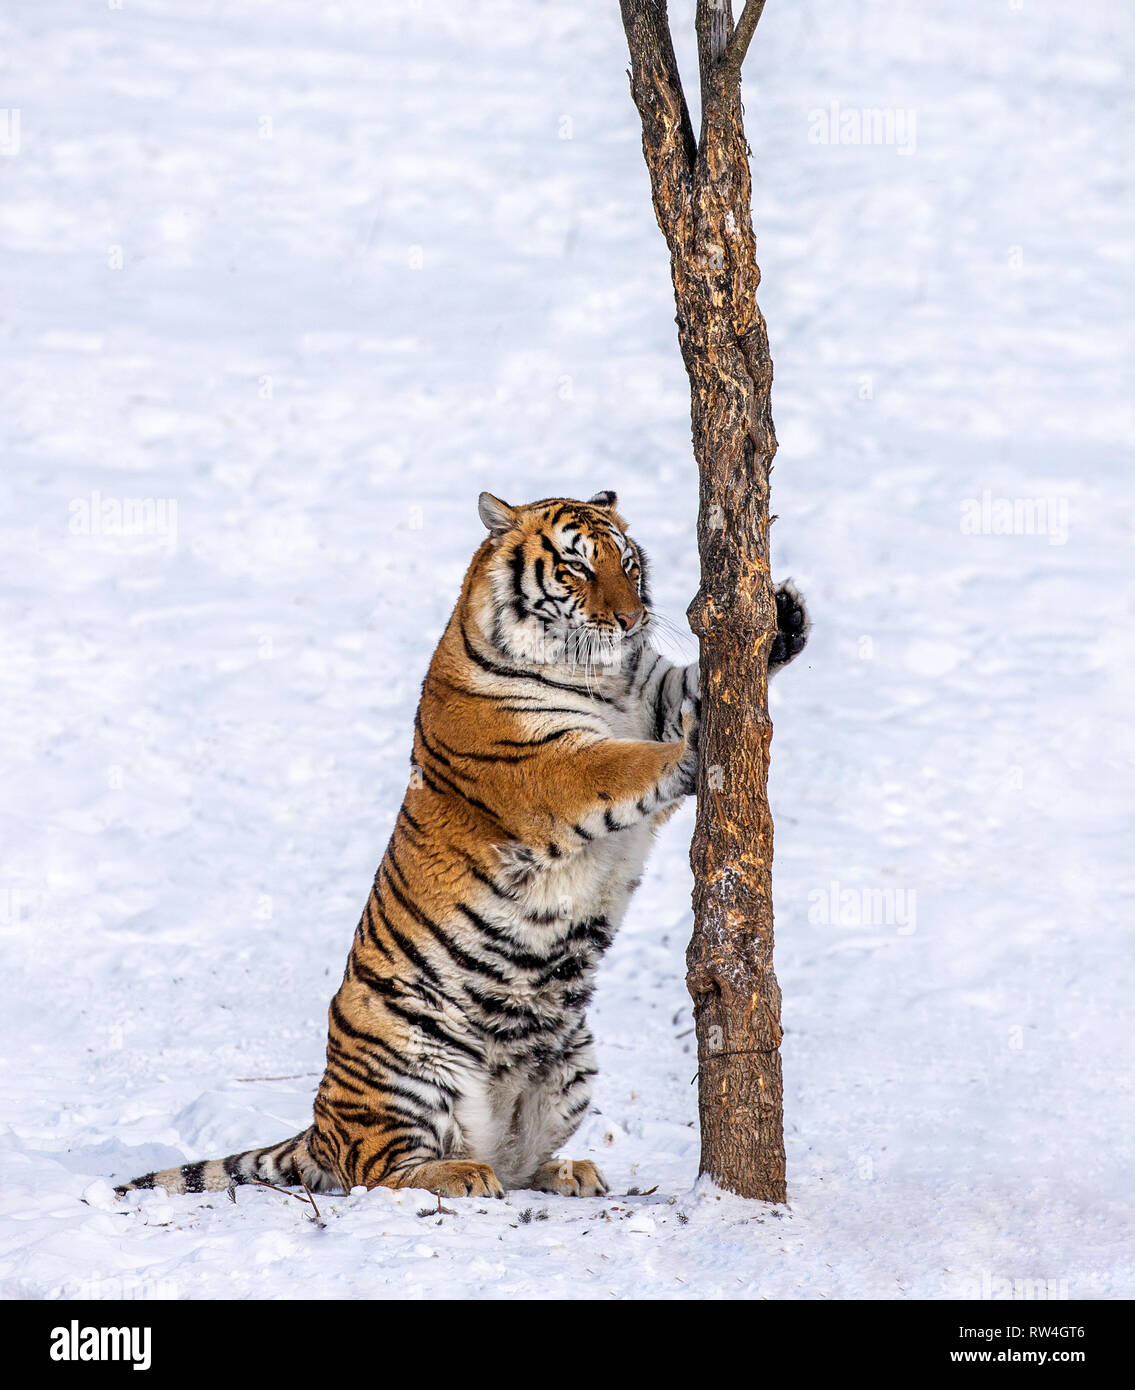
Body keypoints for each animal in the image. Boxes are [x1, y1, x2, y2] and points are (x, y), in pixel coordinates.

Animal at [115, 490, 808, 1201]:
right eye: (577, 568)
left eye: (629, 564)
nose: (631, 619)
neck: (603, 677)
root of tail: (321, 1126)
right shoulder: (547, 767)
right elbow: (625, 763)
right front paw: (695, 744)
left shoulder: (653, 694)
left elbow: (688, 685)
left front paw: (785, 617)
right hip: (406, 1069)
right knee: (378, 1176)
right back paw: (463, 1176)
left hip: (572, 1065)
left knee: (516, 1163)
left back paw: (567, 1171)